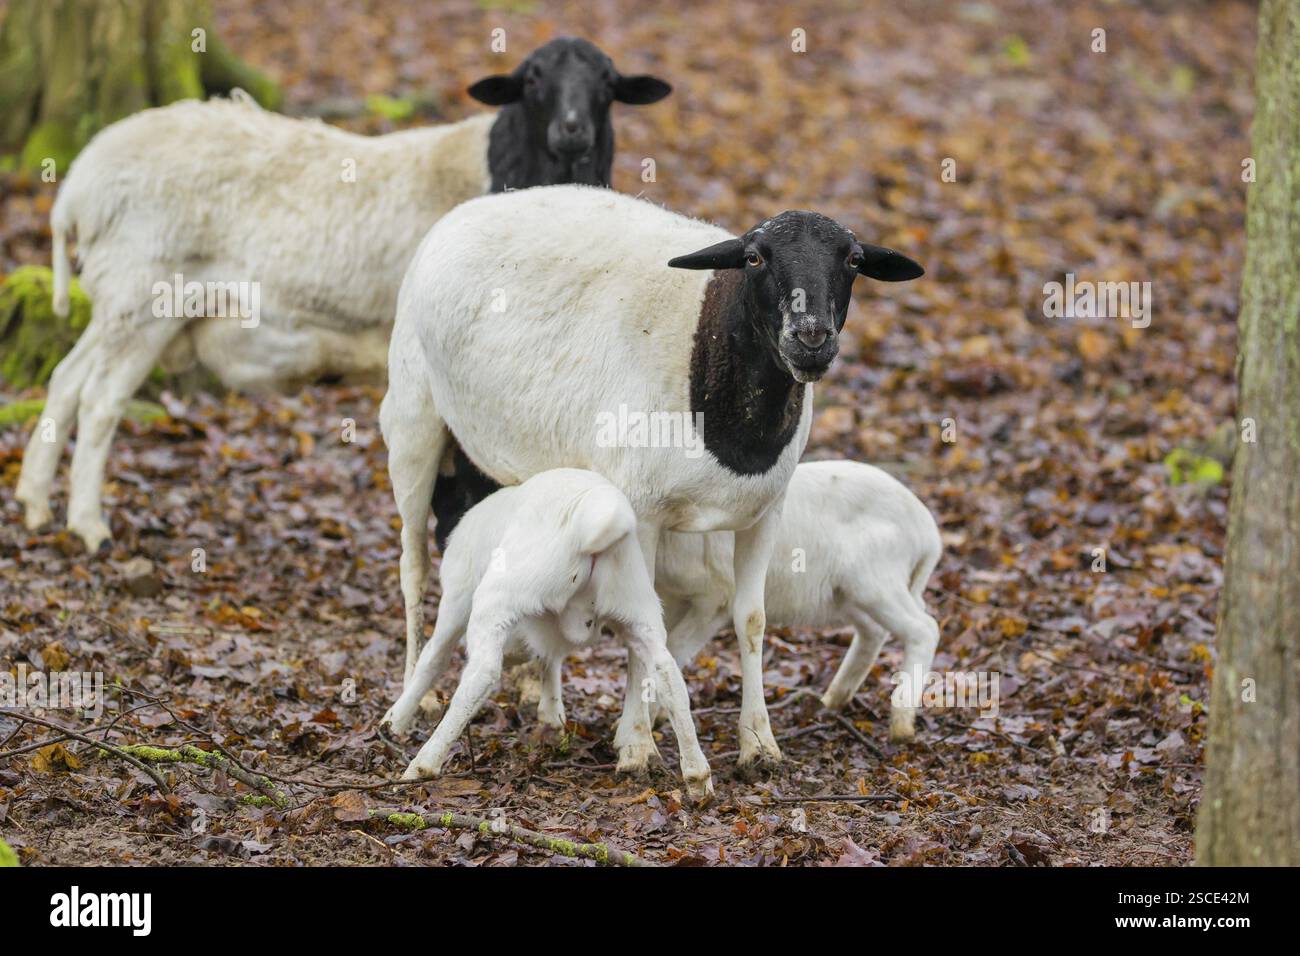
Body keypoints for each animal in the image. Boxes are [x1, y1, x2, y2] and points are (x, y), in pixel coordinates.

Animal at [15, 37, 671, 553]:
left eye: (608, 83)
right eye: (531, 80)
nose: (573, 131)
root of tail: (79, 186)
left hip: (123, 301)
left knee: (68, 379)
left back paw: (35, 502)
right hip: (145, 290)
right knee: (100, 400)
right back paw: (88, 525)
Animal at [381, 468, 713, 799]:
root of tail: (592, 516)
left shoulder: (458, 595)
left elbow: (432, 658)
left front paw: (394, 721)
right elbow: (549, 659)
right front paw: (552, 717)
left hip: (500, 593)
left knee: (482, 673)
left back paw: (422, 764)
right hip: (636, 603)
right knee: (666, 671)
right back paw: (698, 778)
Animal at [654, 459, 942, 742]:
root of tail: (928, 535)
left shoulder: (714, 601)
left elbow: (675, 647)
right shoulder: (674, 601)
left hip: (876, 586)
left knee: (924, 629)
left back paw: (901, 725)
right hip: (847, 597)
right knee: (875, 631)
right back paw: (832, 701)